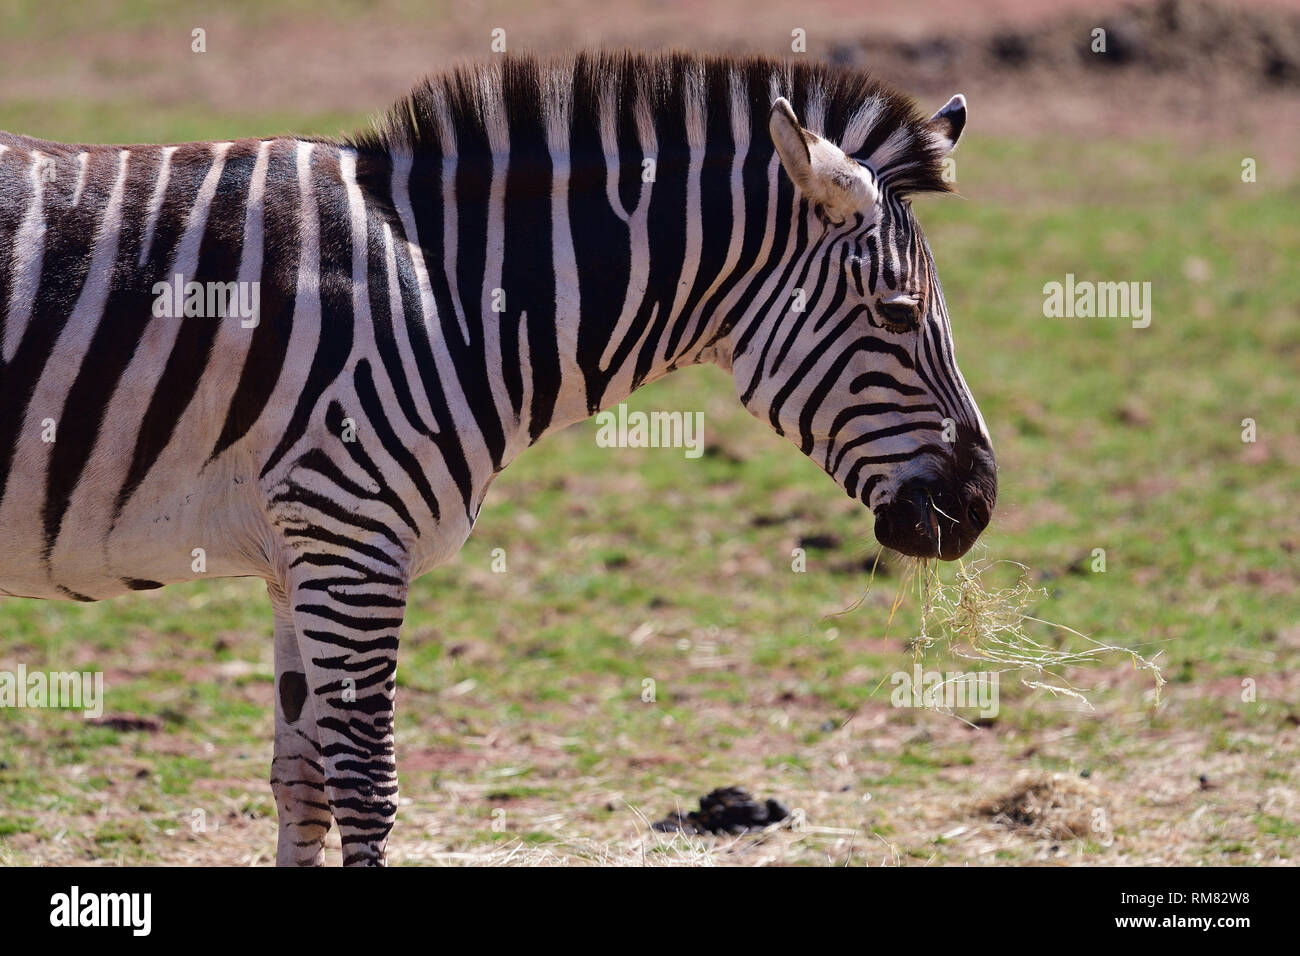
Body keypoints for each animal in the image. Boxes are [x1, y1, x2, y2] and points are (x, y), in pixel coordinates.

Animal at [0, 51, 996, 865]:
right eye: (899, 313)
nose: (978, 506)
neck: (450, 297)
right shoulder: (354, 539)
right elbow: (365, 788)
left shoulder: (303, 552)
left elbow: (302, 785)